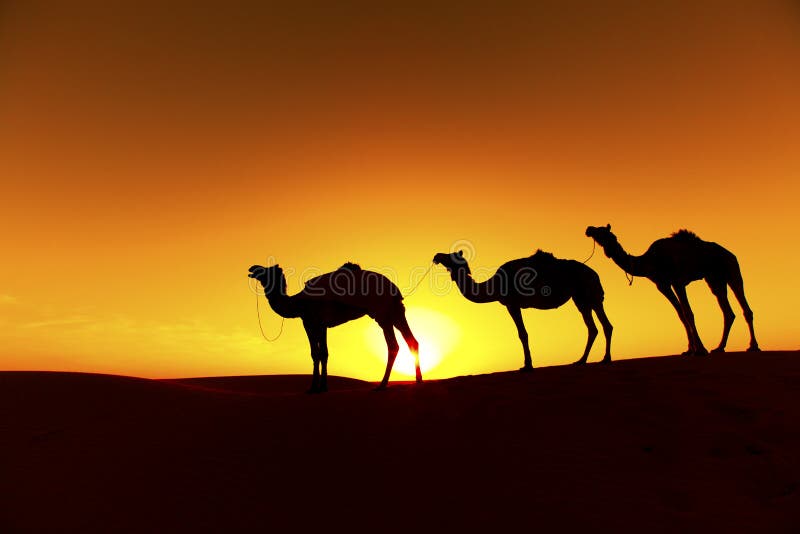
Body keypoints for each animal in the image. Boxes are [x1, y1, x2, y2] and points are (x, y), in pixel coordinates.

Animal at [247, 262, 421, 392]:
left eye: (267, 270)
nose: (252, 269)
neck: (298, 303)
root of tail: (394, 289)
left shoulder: (314, 323)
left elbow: (319, 353)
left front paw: (317, 387)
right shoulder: (316, 324)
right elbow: (319, 354)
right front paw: (319, 387)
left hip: (382, 313)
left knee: (393, 345)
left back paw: (382, 385)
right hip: (395, 312)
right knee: (410, 341)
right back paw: (418, 381)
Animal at [432, 249, 613, 369]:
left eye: (450, 255)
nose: (437, 256)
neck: (494, 285)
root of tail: (595, 275)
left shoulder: (512, 304)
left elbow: (522, 334)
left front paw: (527, 365)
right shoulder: (513, 305)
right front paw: (528, 364)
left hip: (587, 295)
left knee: (600, 326)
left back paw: (601, 359)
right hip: (583, 299)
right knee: (597, 327)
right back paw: (585, 360)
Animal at [585, 224, 760, 355]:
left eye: (600, 230)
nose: (588, 229)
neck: (649, 261)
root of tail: (731, 254)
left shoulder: (677, 282)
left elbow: (688, 313)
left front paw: (700, 349)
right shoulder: (662, 285)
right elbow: (681, 314)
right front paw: (689, 350)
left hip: (732, 271)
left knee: (745, 306)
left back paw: (753, 346)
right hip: (714, 279)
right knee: (727, 312)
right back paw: (719, 348)